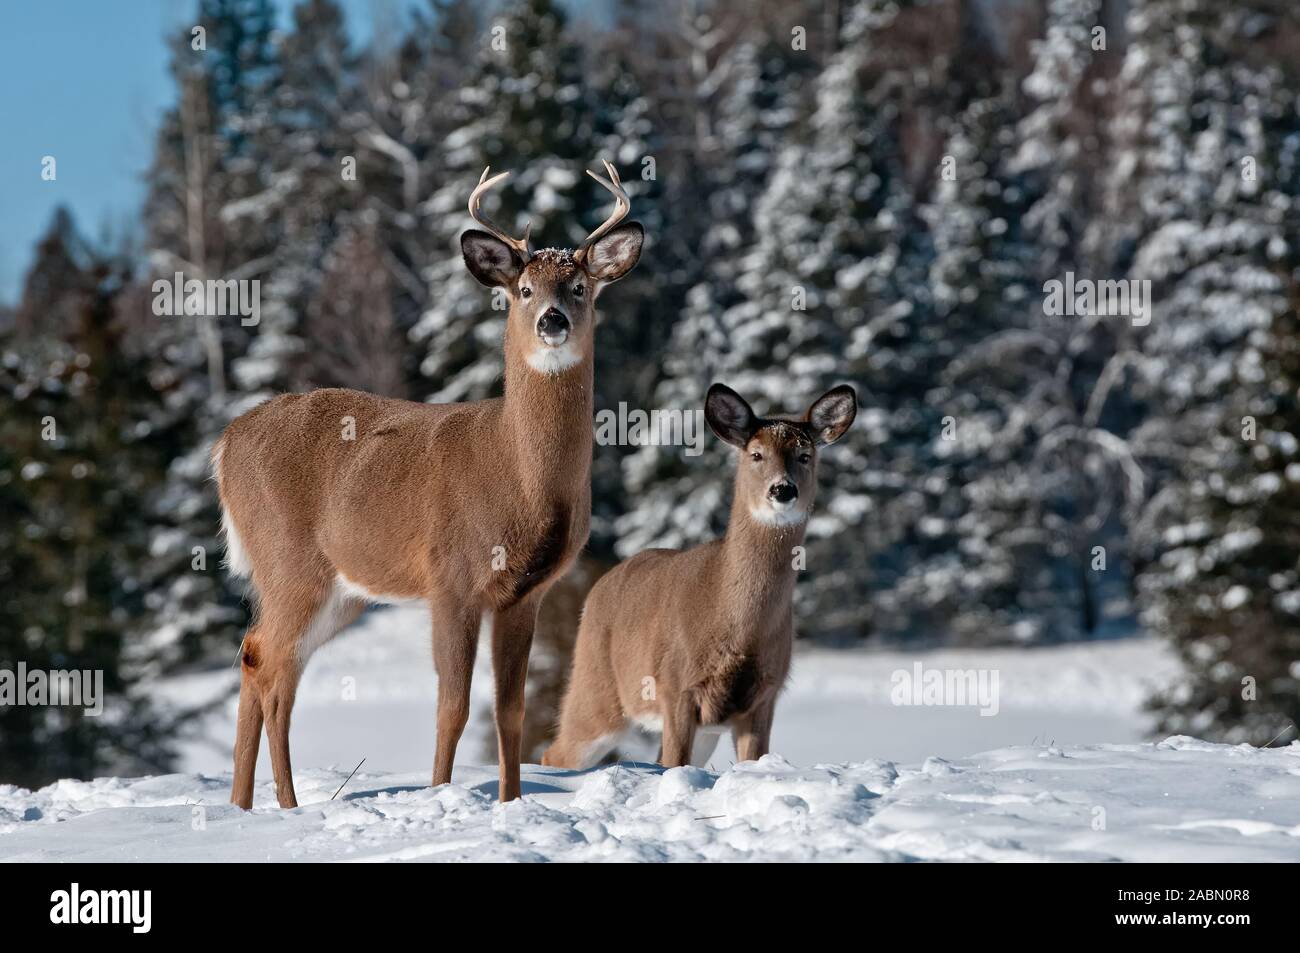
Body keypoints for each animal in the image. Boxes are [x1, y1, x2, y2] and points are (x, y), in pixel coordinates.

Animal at [213, 161, 643, 808]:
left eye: (580, 288)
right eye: (523, 290)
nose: (553, 322)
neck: (522, 480)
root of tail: (225, 444)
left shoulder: (527, 594)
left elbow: (511, 711)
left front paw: (510, 802)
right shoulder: (452, 579)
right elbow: (453, 706)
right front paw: (440, 794)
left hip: (342, 590)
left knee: (262, 658)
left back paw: (245, 805)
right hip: (288, 561)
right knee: (269, 664)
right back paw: (284, 805)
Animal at [542, 381, 857, 771]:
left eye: (805, 454)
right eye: (756, 454)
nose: (782, 489)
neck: (735, 624)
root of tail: (597, 588)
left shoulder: (764, 695)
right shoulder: (676, 685)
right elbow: (674, 761)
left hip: (701, 729)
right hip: (597, 688)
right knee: (557, 751)